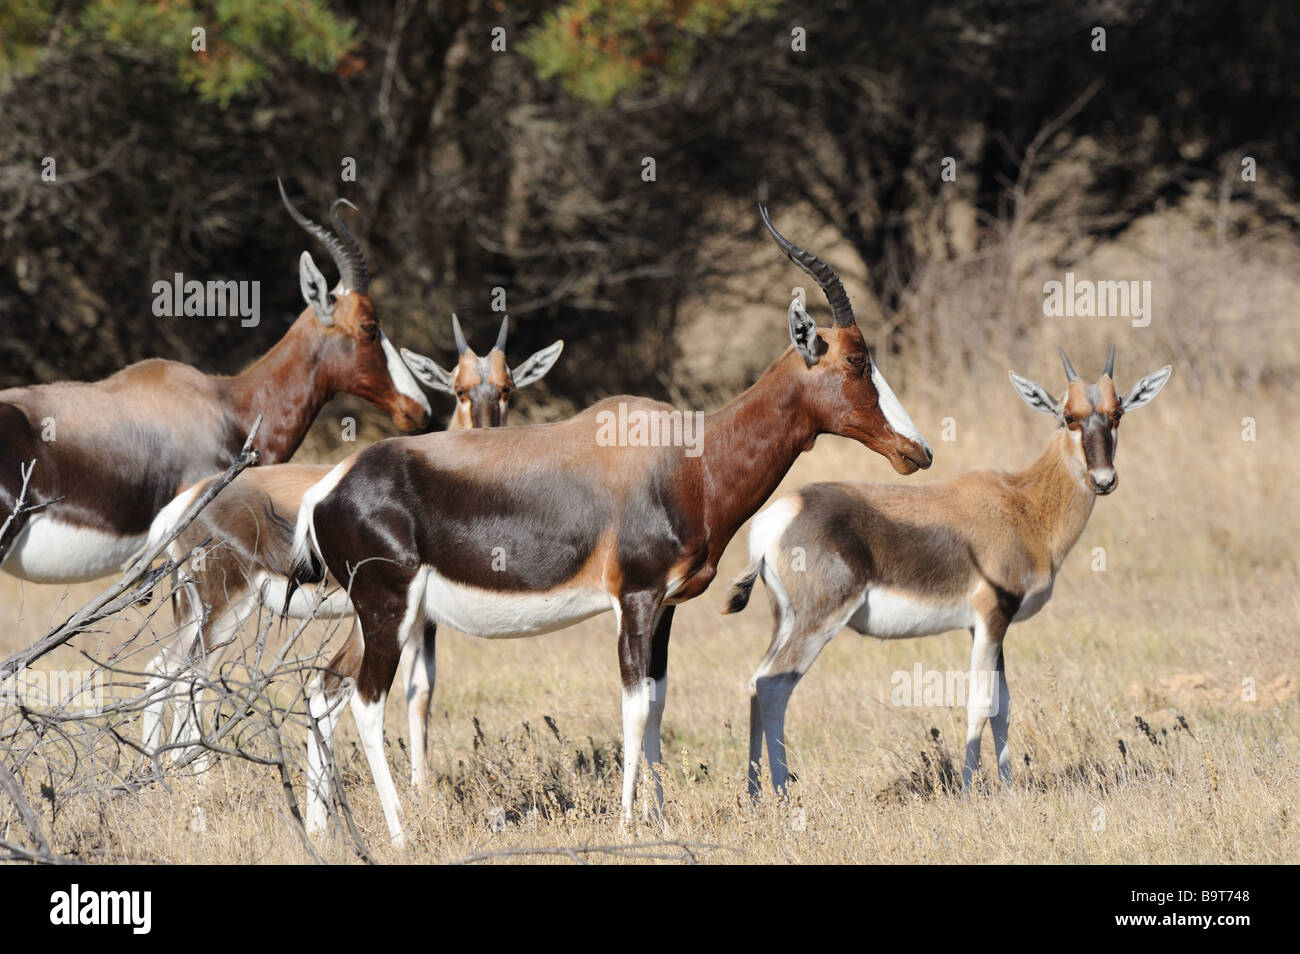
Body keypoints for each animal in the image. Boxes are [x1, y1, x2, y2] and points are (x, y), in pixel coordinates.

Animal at [139, 317, 564, 763]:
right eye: (459, 389)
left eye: (506, 388)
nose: (483, 439)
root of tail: (186, 501)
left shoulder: (420, 616)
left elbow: (420, 690)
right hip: (226, 608)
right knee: (187, 677)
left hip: (195, 609)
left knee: (163, 672)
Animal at [286, 207, 934, 844]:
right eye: (856, 361)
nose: (919, 450)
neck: (687, 457)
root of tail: (329, 486)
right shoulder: (636, 599)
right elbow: (634, 705)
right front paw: (627, 825)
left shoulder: (666, 608)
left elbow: (658, 701)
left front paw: (660, 819)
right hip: (389, 609)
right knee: (366, 700)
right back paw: (399, 834)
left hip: (372, 614)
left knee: (324, 689)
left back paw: (319, 829)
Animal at [725, 347, 1171, 798]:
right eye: (1069, 417)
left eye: (1116, 414)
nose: (1104, 480)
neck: (1021, 502)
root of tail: (777, 519)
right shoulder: (992, 617)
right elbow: (979, 702)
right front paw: (970, 790)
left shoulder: (986, 625)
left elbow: (1002, 706)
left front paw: (1008, 788)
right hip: (819, 622)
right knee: (774, 685)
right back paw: (782, 793)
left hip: (786, 621)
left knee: (754, 682)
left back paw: (755, 793)